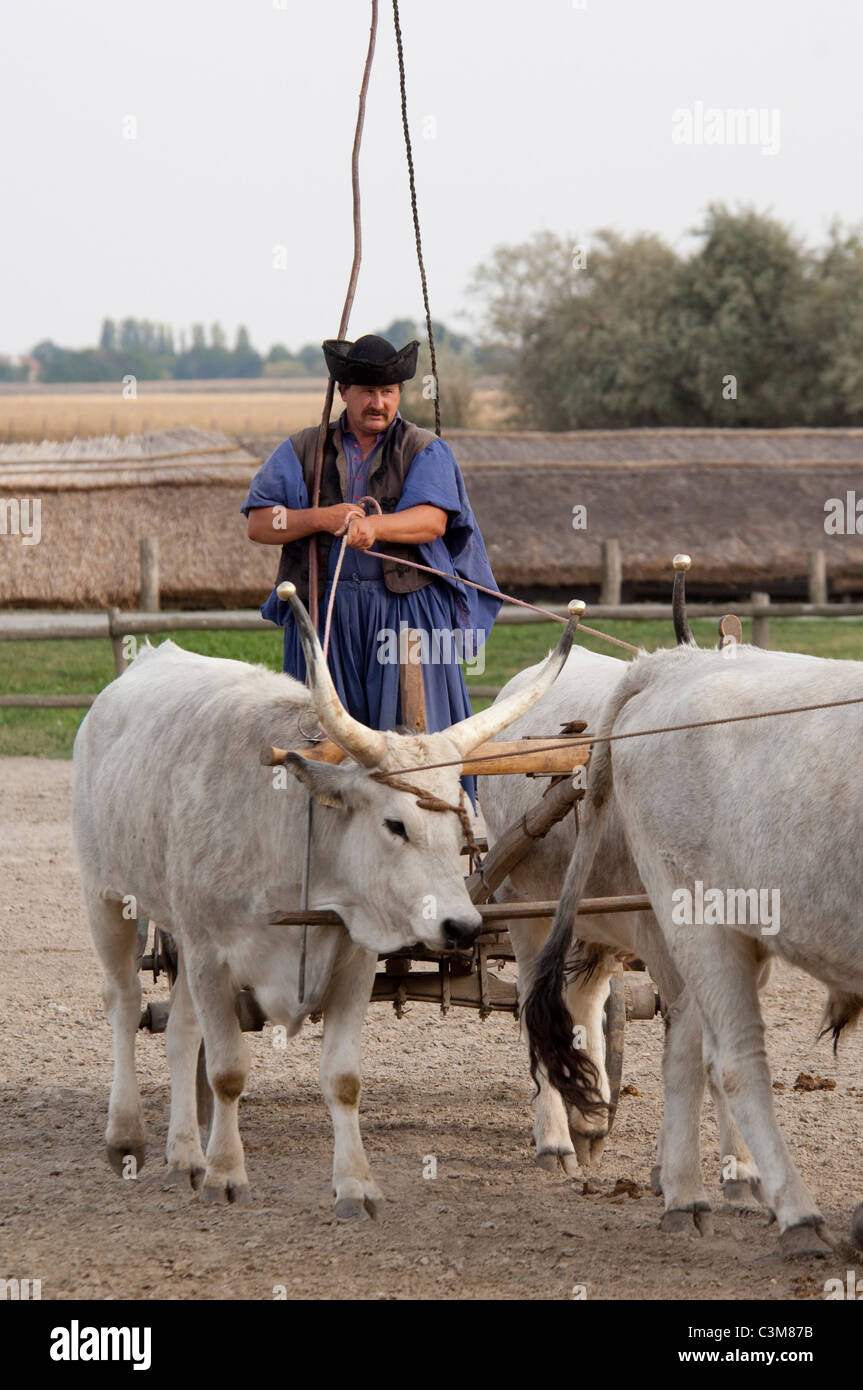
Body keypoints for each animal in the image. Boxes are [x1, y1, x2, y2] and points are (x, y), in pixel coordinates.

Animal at [72, 584, 580, 1215]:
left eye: (461, 825)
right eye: (395, 824)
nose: (462, 926)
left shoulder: (352, 959)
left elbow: (342, 1079)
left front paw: (355, 1184)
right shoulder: (213, 955)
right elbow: (227, 1071)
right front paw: (226, 1172)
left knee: (180, 1030)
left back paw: (186, 1154)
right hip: (108, 897)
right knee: (123, 1003)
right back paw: (127, 1136)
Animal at [481, 645, 763, 1225]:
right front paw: (716, 1175)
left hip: (596, 920)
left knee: (582, 999)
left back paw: (589, 1118)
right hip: (527, 906)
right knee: (531, 1002)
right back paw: (556, 1138)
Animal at [523, 642, 863, 1255]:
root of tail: (675, 660)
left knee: (681, 1040)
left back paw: (689, 1188)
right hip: (690, 919)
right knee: (734, 1061)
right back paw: (792, 1214)